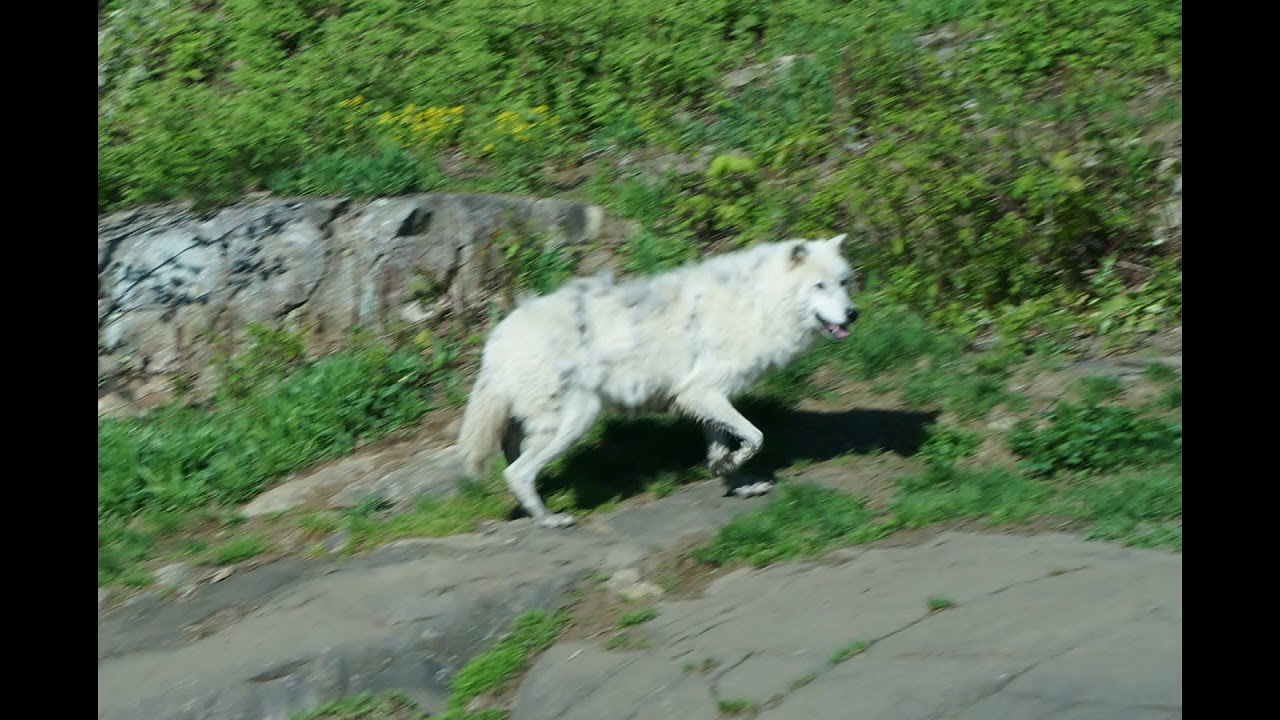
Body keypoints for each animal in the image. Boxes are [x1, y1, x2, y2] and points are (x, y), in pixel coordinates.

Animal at [455, 234, 860, 528]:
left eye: (844, 282)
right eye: (820, 286)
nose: (853, 314)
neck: (757, 303)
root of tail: (497, 341)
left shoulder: (702, 397)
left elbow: (723, 445)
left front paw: (731, 478)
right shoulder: (702, 391)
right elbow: (756, 437)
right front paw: (734, 471)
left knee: (514, 463)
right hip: (573, 423)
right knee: (517, 473)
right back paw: (550, 521)